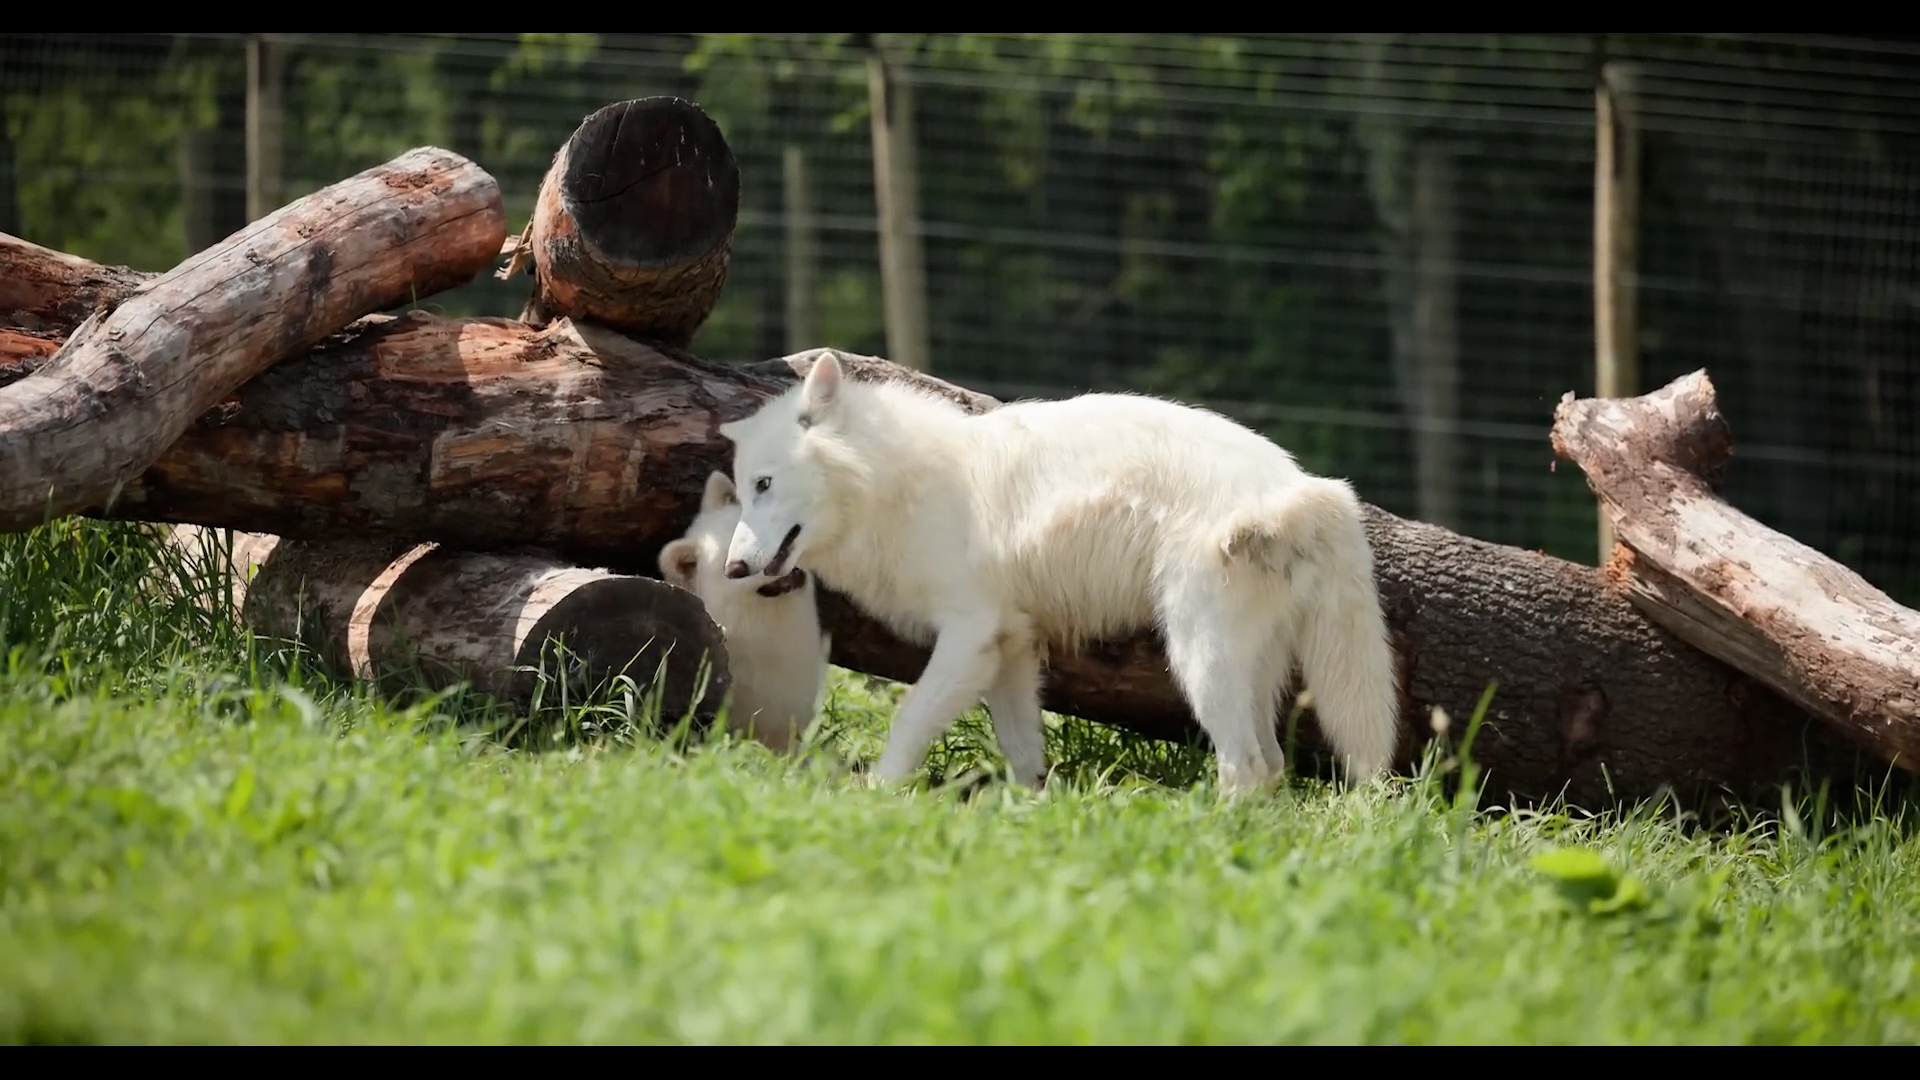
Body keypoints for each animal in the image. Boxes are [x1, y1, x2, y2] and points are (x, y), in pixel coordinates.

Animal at [717, 354, 1399, 796]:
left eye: (765, 484)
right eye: (743, 492)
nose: (733, 567)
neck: (895, 483)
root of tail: (1301, 484)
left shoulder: (969, 636)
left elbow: (909, 718)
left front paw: (874, 799)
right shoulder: (1011, 649)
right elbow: (1022, 751)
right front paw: (1032, 812)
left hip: (1197, 658)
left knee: (1245, 767)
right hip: (1249, 669)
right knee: (1273, 764)